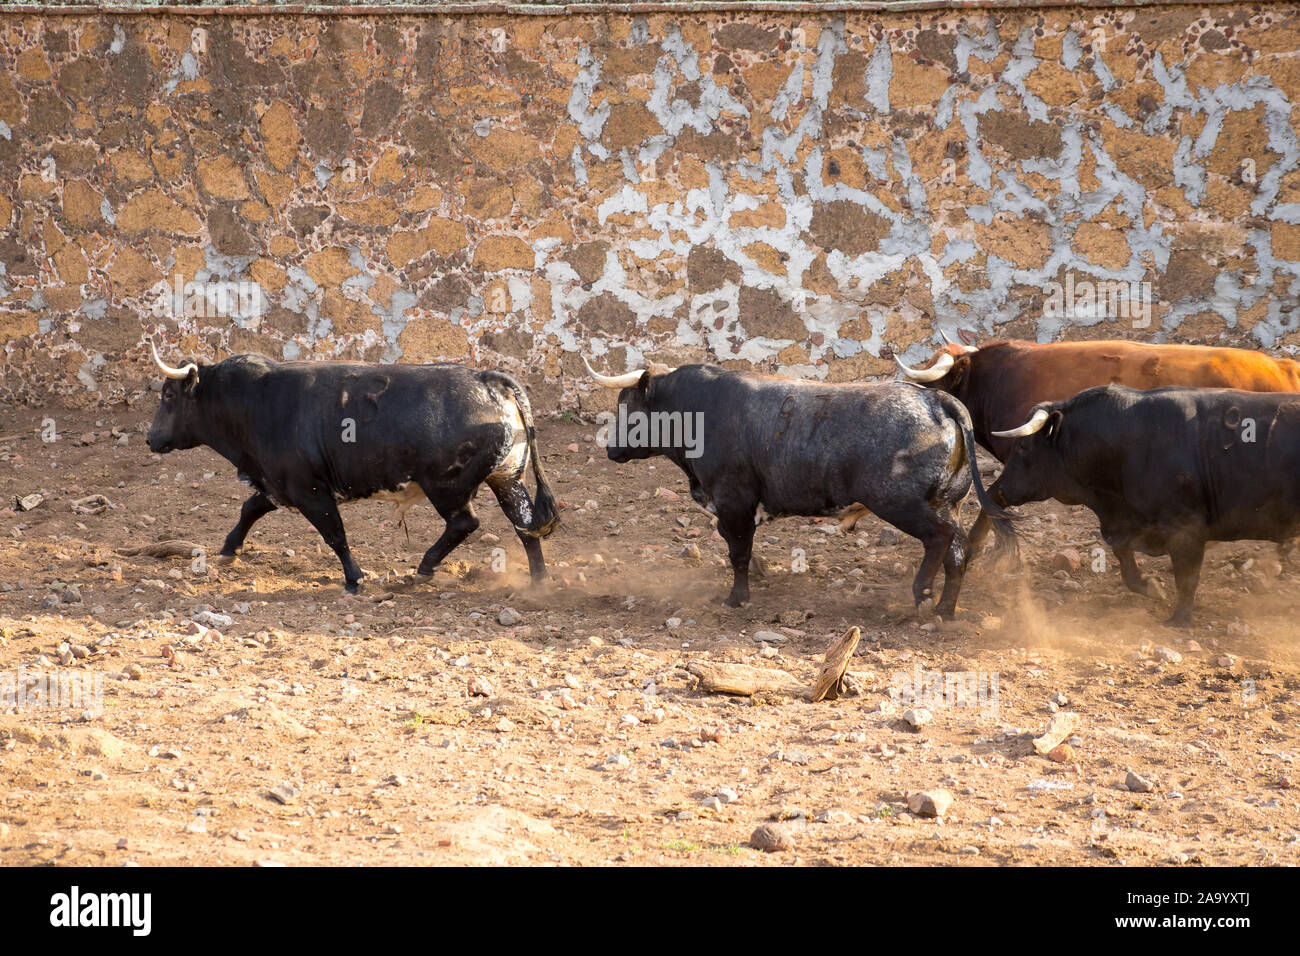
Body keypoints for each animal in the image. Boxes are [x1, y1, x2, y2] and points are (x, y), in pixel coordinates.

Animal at [145, 343, 559, 593]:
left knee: (464, 523)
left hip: (447, 487)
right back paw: (539, 580)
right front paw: (229, 550)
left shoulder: (309, 491)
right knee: (524, 525)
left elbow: (335, 535)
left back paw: (425, 567)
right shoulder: (279, 485)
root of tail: (489, 380)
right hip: (506, 478)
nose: (150, 438)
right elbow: (251, 508)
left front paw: (354, 578)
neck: (253, 401)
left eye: (168, 395)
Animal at [584, 357, 1012, 619]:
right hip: (947, 503)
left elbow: (738, 553)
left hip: (900, 503)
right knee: (958, 551)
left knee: (939, 539)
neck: (697, 409)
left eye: (629, 408)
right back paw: (943, 610)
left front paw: (737, 598)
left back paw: (922, 593)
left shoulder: (734, 502)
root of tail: (935, 399)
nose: (611, 449)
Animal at [895, 337, 1300, 578]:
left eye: (931, 382)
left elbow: (992, 500)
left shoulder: (1026, 467)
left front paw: (979, 552)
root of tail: (1283, 366)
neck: (1000, 378)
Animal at [991, 383, 1300, 626]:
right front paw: (1151, 587)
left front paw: (1179, 620)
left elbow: (1187, 577)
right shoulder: (1124, 524)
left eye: (1023, 447)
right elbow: (1125, 560)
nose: (999, 489)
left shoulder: (1185, 527)